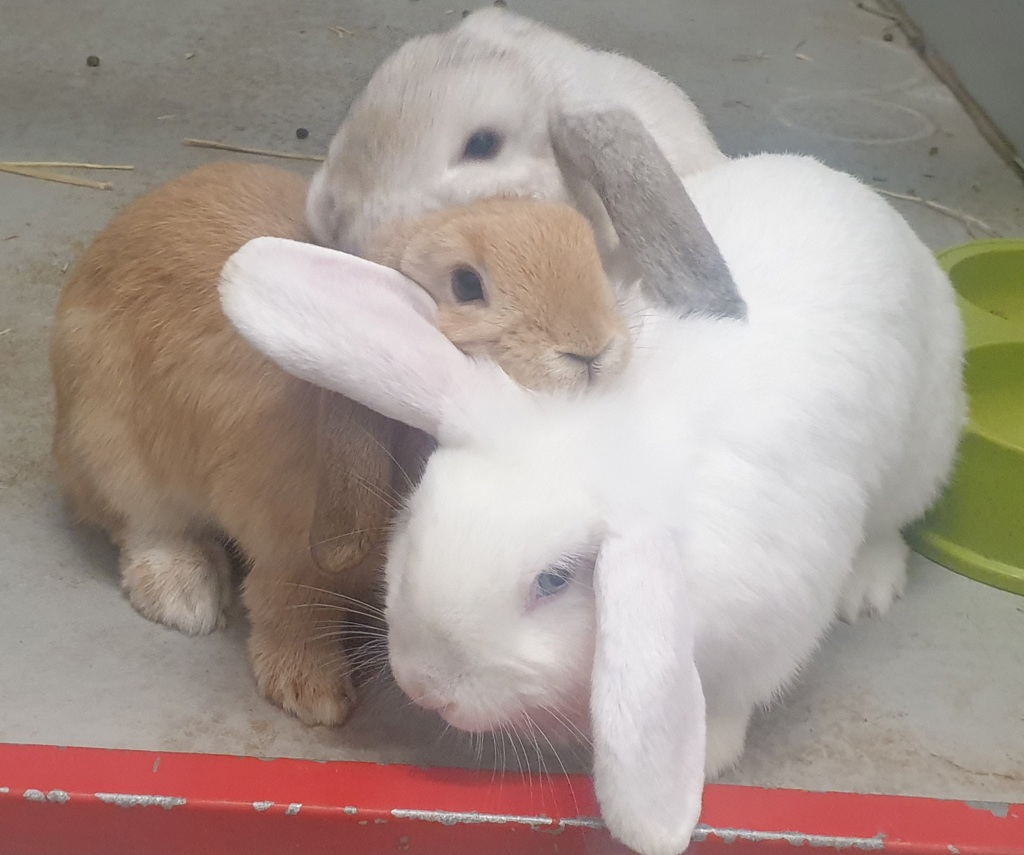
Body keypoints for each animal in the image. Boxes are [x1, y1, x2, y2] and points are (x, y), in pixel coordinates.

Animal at [50, 160, 628, 727]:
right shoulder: (288, 556)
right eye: (467, 283)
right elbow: (292, 608)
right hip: (113, 451)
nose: (593, 347)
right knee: (140, 524)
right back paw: (183, 594)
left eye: (593, 255)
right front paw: (311, 692)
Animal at [220, 109, 965, 854]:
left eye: (554, 581)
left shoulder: (773, 622)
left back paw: (869, 586)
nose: (426, 685)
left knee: (893, 521)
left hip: (923, 443)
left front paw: (710, 755)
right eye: (416, 510)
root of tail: (843, 184)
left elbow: (732, 698)